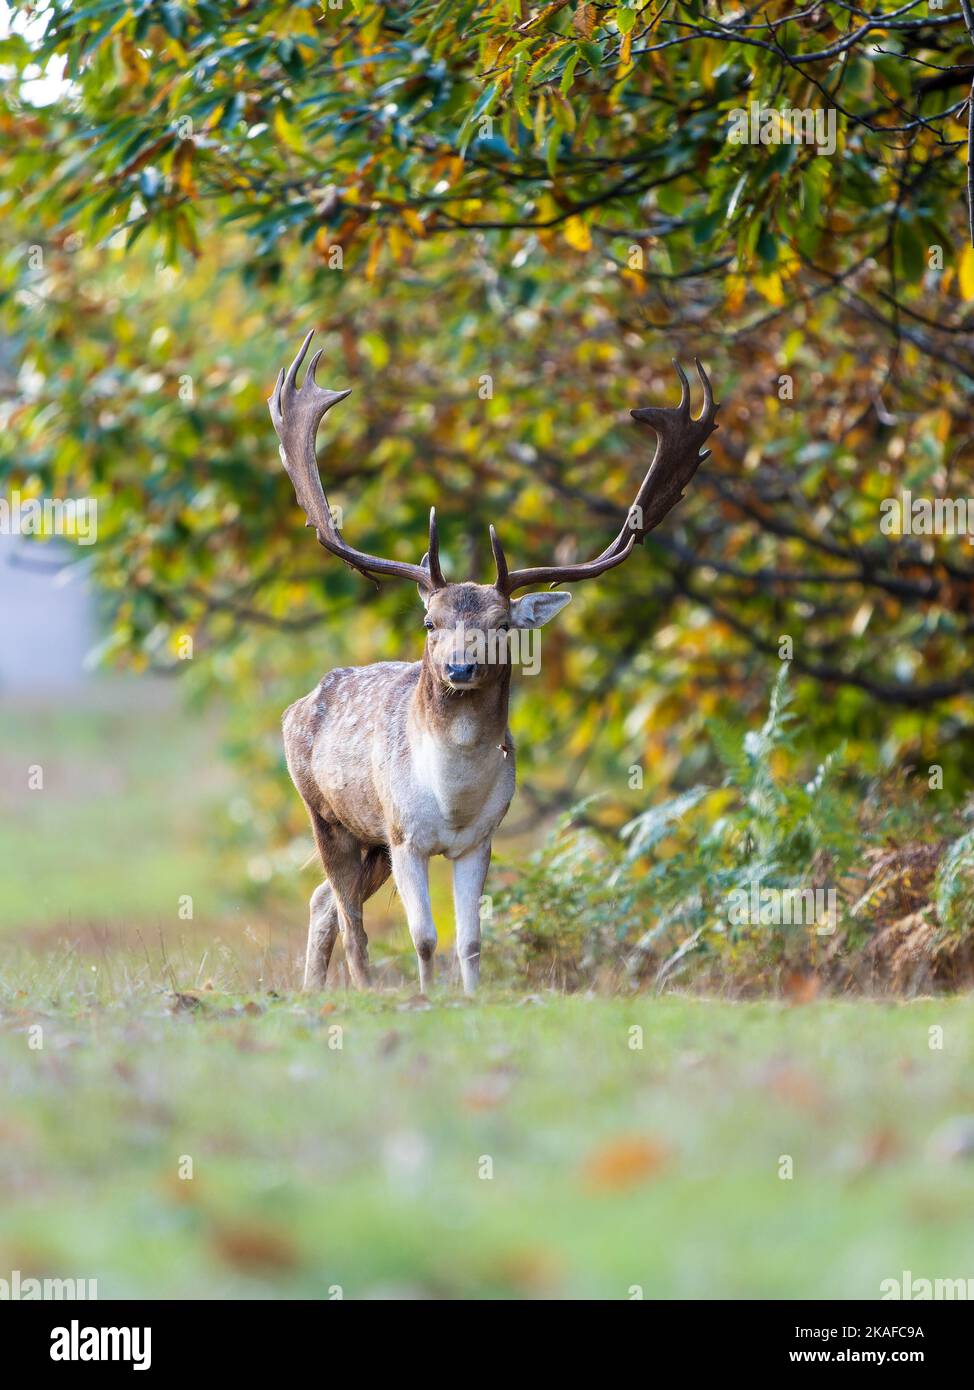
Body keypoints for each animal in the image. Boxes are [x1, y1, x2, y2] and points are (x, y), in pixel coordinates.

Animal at [269, 331, 719, 995]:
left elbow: (472, 941)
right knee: (348, 918)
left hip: (369, 842)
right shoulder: (404, 834)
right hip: (330, 816)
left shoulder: (481, 838)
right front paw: (426, 998)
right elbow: (424, 938)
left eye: (502, 626)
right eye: (430, 624)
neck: (451, 800)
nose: (458, 670)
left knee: (322, 902)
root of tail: (297, 706)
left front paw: (470, 998)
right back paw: (357, 990)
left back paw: (314, 990)